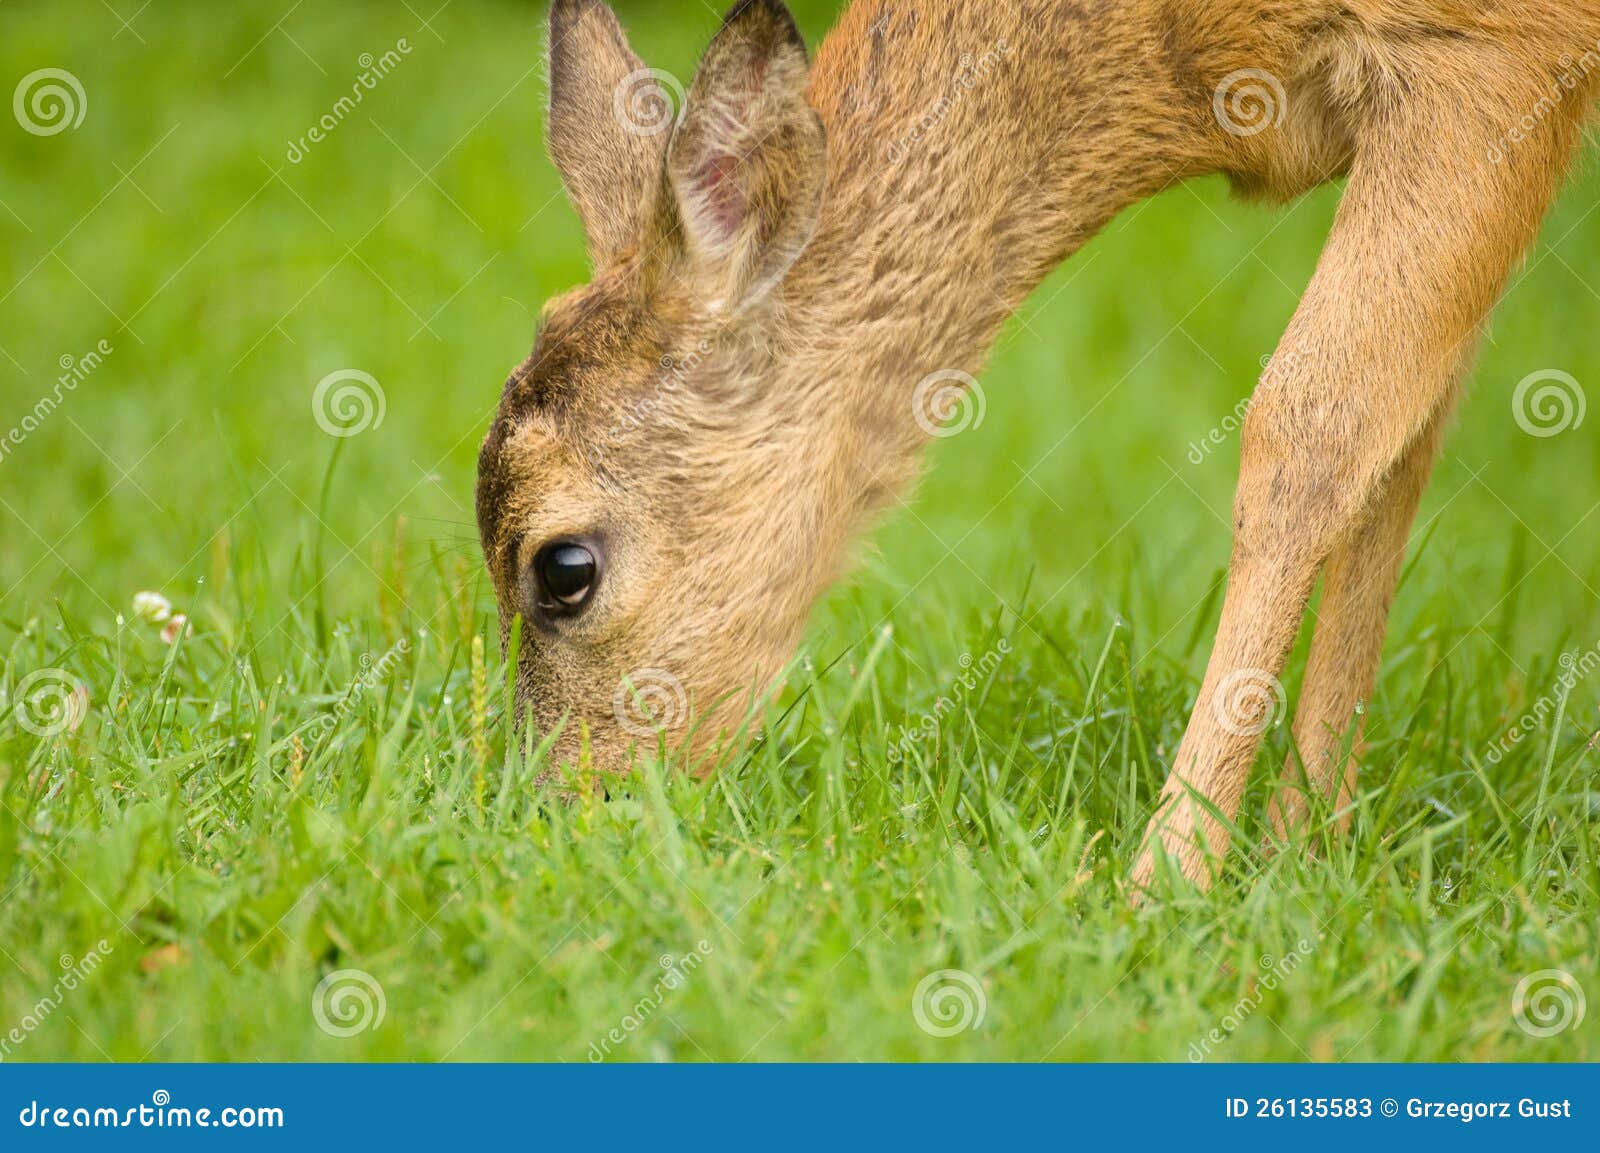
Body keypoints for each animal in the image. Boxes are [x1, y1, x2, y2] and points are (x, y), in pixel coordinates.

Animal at [475, 0, 1600, 891]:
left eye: (562, 568)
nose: (566, 816)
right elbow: (1400, 450)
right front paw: (1305, 851)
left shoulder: (1491, 54)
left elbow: (1306, 430)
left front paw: (1168, 881)